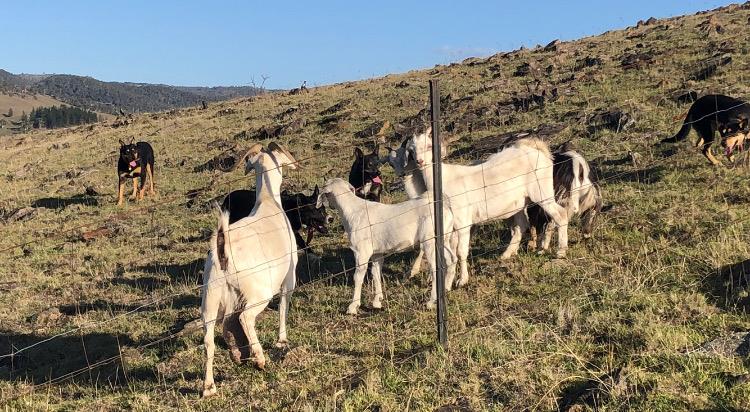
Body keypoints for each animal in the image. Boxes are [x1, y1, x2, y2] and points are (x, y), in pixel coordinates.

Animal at [201, 142, 299, 397]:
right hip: (258, 292)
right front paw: (282, 341)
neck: (268, 201)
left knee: (209, 338)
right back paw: (259, 358)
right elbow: (283, 306)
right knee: (246, 318)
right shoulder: (288, 278)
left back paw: (210, 387)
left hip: (211, 296)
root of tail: (223, 249)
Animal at [316, 178, 456, 313]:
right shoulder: (376, 252)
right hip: (444, 238)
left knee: (436, 268)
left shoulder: (361, 251)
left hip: (430, 242)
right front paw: (377, 301)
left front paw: (353, 307)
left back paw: (431, 302)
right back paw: (446, 288)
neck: (354, 211)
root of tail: (445, 207)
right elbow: (376, 273)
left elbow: (358, 276)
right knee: (451, 259)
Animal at [405, 128, 569, 288]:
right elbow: (450, 254)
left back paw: (560, 252)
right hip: (520, 202)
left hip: (541, 191)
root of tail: (537, 149)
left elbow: (461, 252)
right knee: (522, 225)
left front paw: (462, 280)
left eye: (429, 146)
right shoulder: (451, 227)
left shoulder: (463, 222)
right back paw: (508, 254)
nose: (420, 161)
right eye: (412, 150)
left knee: (560, 214)